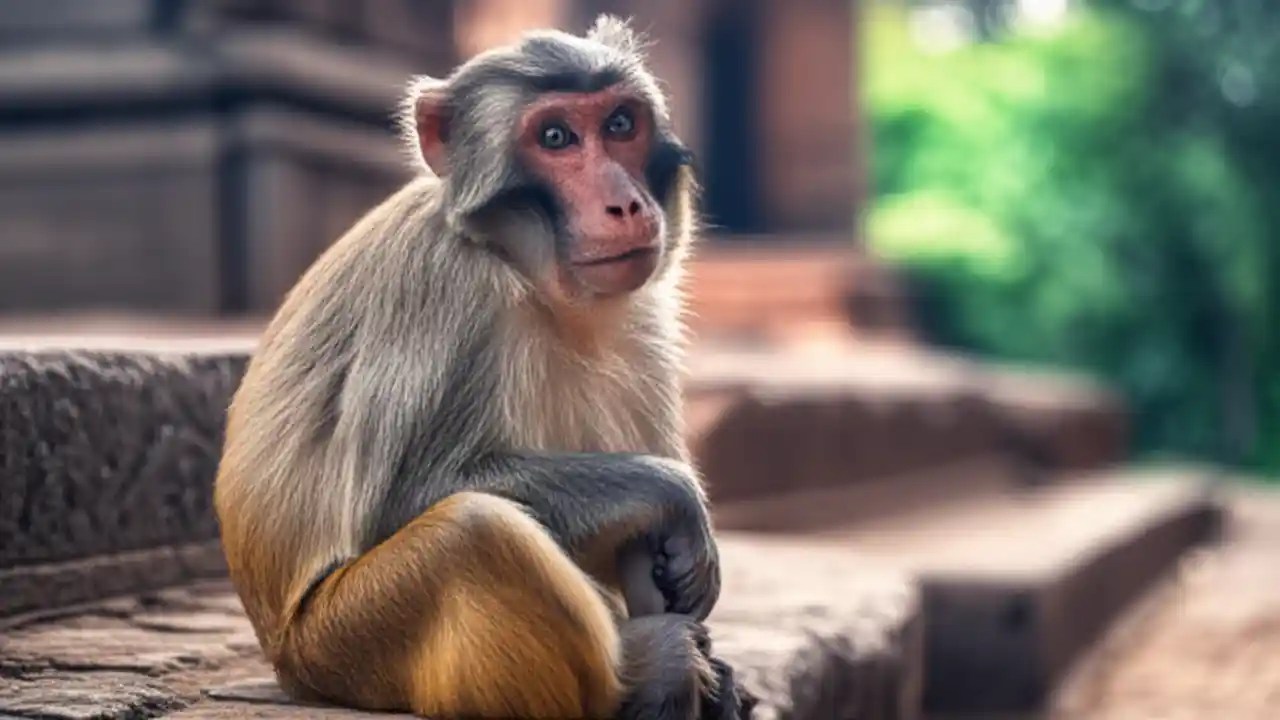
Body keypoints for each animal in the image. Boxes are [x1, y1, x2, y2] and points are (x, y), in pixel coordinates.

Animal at [213, 15, 754, 720]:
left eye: (619, 124)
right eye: (555, 137)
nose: (626, 204)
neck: (531, 275)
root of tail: (283, 663)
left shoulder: (645, 321)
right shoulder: (445, 284)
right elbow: (405, 499)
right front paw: (673, 497)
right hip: (343, 641)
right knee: (469, 531)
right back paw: (642, 672)